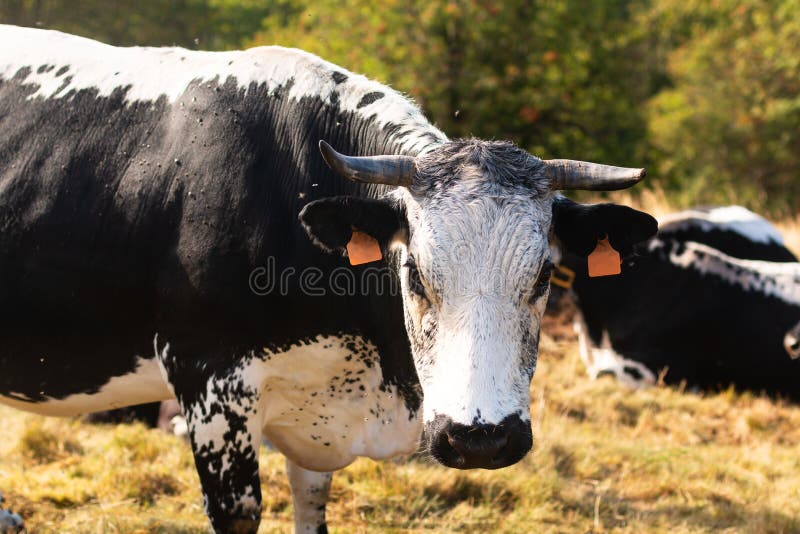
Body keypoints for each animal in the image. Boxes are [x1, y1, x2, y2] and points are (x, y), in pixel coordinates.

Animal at [0, 25, 657, 533]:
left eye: (544, 274)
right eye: (413, 272)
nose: (482, 439)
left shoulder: (314, 420)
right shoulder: (207, 381)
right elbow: (238, 511)